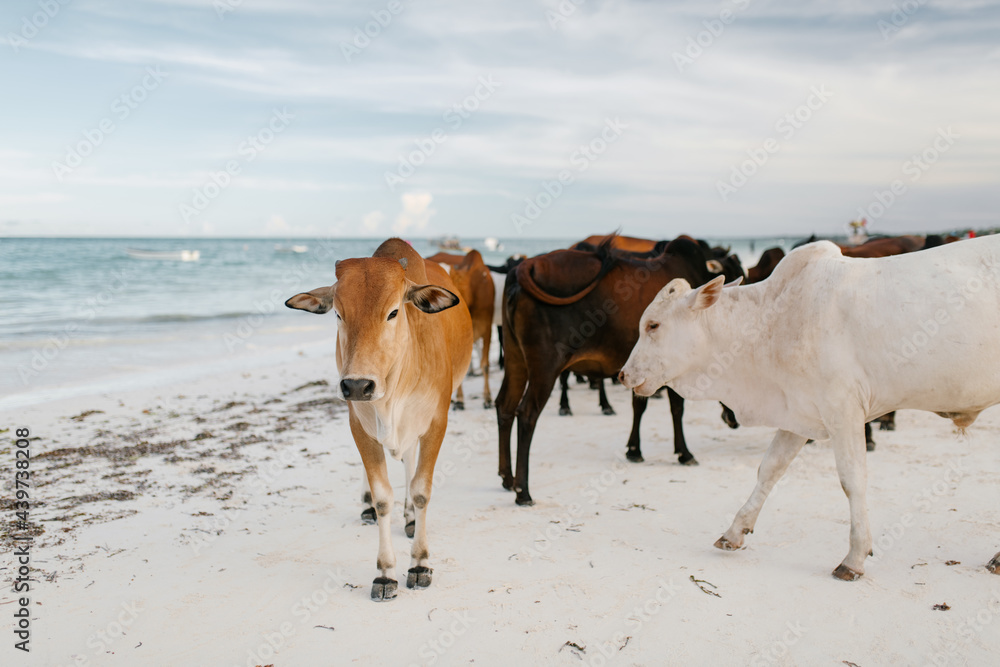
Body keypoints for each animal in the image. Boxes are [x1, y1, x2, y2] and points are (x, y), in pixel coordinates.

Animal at [285, 238, 473, 600]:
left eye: (394, 312)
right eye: (339, 314)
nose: (358, 384)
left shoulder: (436, 423)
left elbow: (421, 490)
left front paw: (420, 563)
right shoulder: (359, 425)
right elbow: (383, 495)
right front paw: (385, 572)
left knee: (410, 464)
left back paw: (410, 518)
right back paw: (368, 508)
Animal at [496, 236, 742, 506]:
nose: (735, 419)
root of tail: (523, 267)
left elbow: (639, 405)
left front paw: (634, 450)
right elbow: (676, 408)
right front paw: (684, 453)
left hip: (515, 359)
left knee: (504, 405)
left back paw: (507, 478)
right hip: (545, 367)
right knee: (526, 414)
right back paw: (523, 490)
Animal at [619, 236, 1000, 580]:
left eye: (653, 325)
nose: (623, 375)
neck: (773, 319)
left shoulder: (843, 411)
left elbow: (852, 481)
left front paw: (854, 556)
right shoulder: (797, 412)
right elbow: (769, 469)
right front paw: (735, 531)